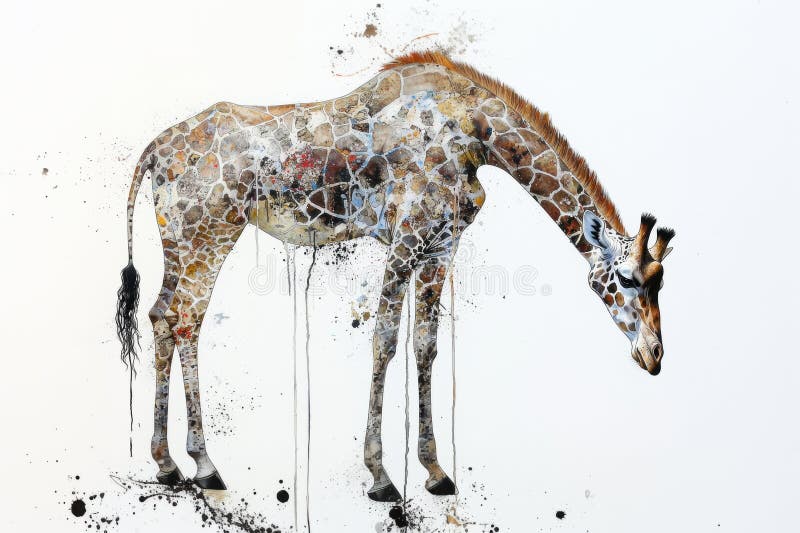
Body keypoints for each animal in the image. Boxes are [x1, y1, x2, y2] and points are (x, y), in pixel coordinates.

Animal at [115, 50, 675, 501]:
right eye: (628, 279)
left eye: (661, 283)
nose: (654, 357)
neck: (476, 132)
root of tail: (153, 151)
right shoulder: (405, 241)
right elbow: (384, 339)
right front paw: (381, 476)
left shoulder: (441, 247)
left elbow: (424, 345)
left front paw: (435, 471)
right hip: (209, 233)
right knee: (186, 320)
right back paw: (205, 465)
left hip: (181, 240)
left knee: (162, 316)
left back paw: (167, 464)